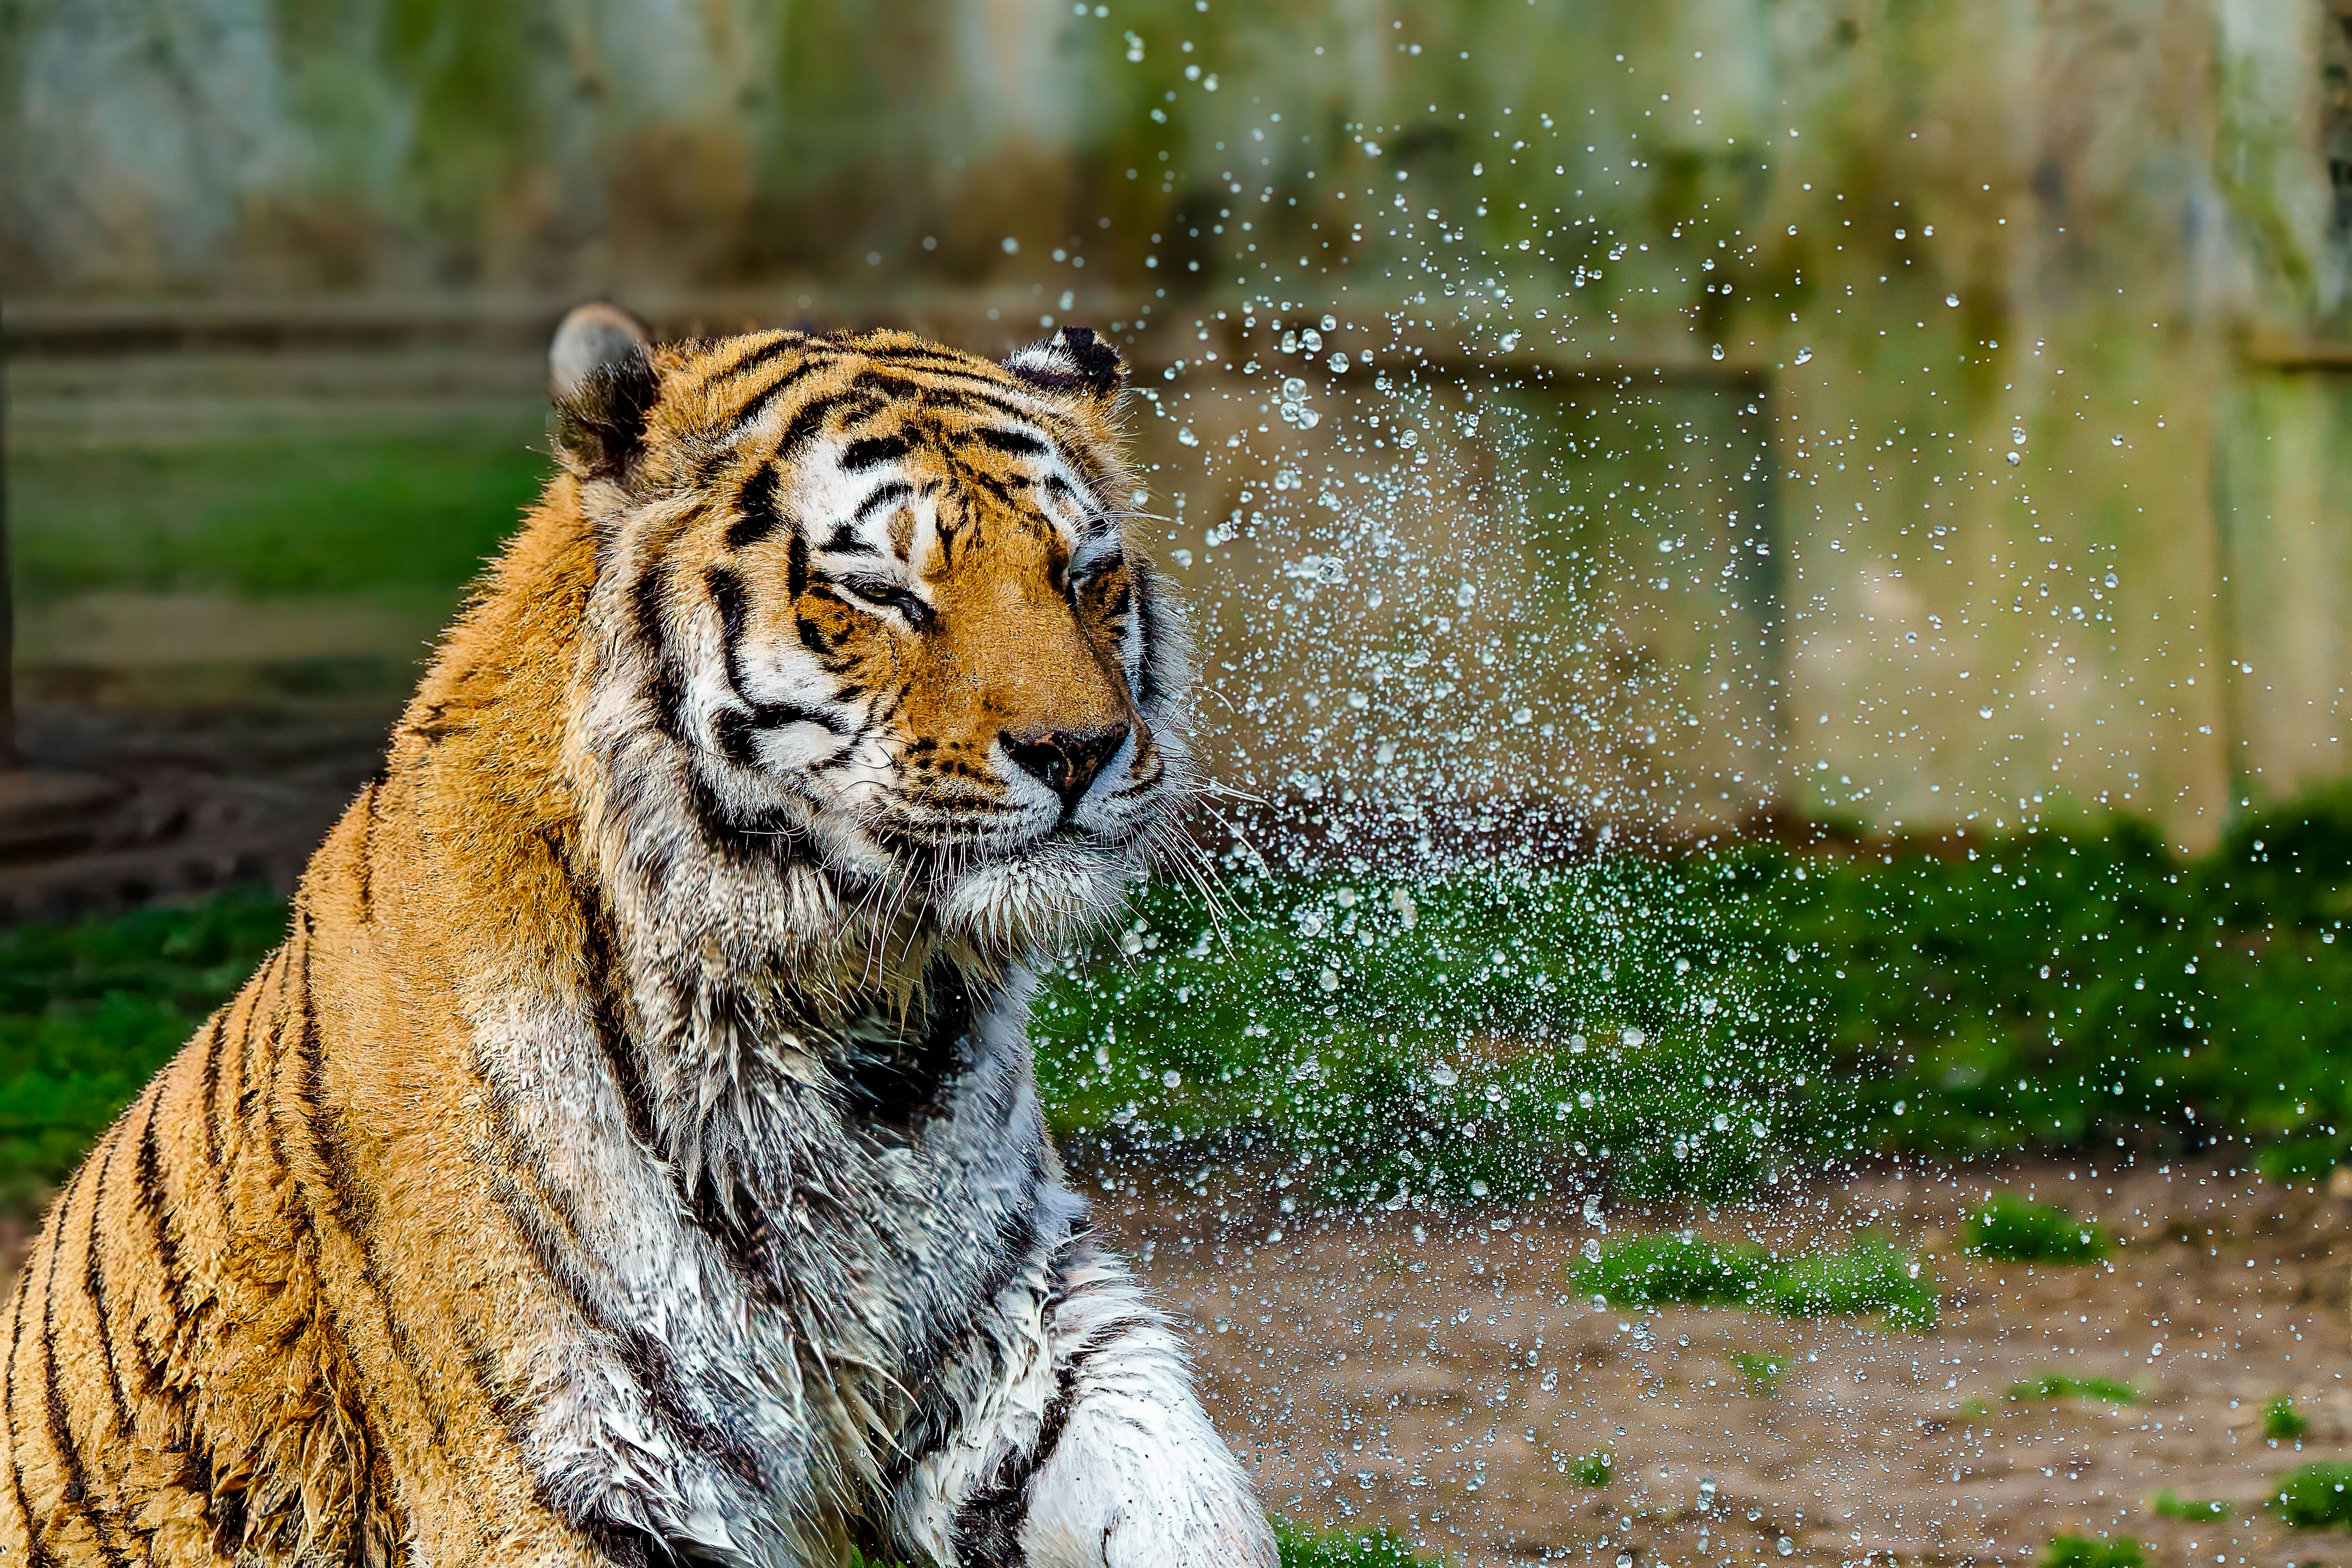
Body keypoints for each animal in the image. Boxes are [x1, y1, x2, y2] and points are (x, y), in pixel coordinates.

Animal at [0, 304, 1278, 1568]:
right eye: (881, 590)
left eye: (1085, 572)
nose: (1081, 751)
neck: (858, 1013)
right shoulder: (574, 1463)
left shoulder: (1024, 1339)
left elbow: (1193, 1505)